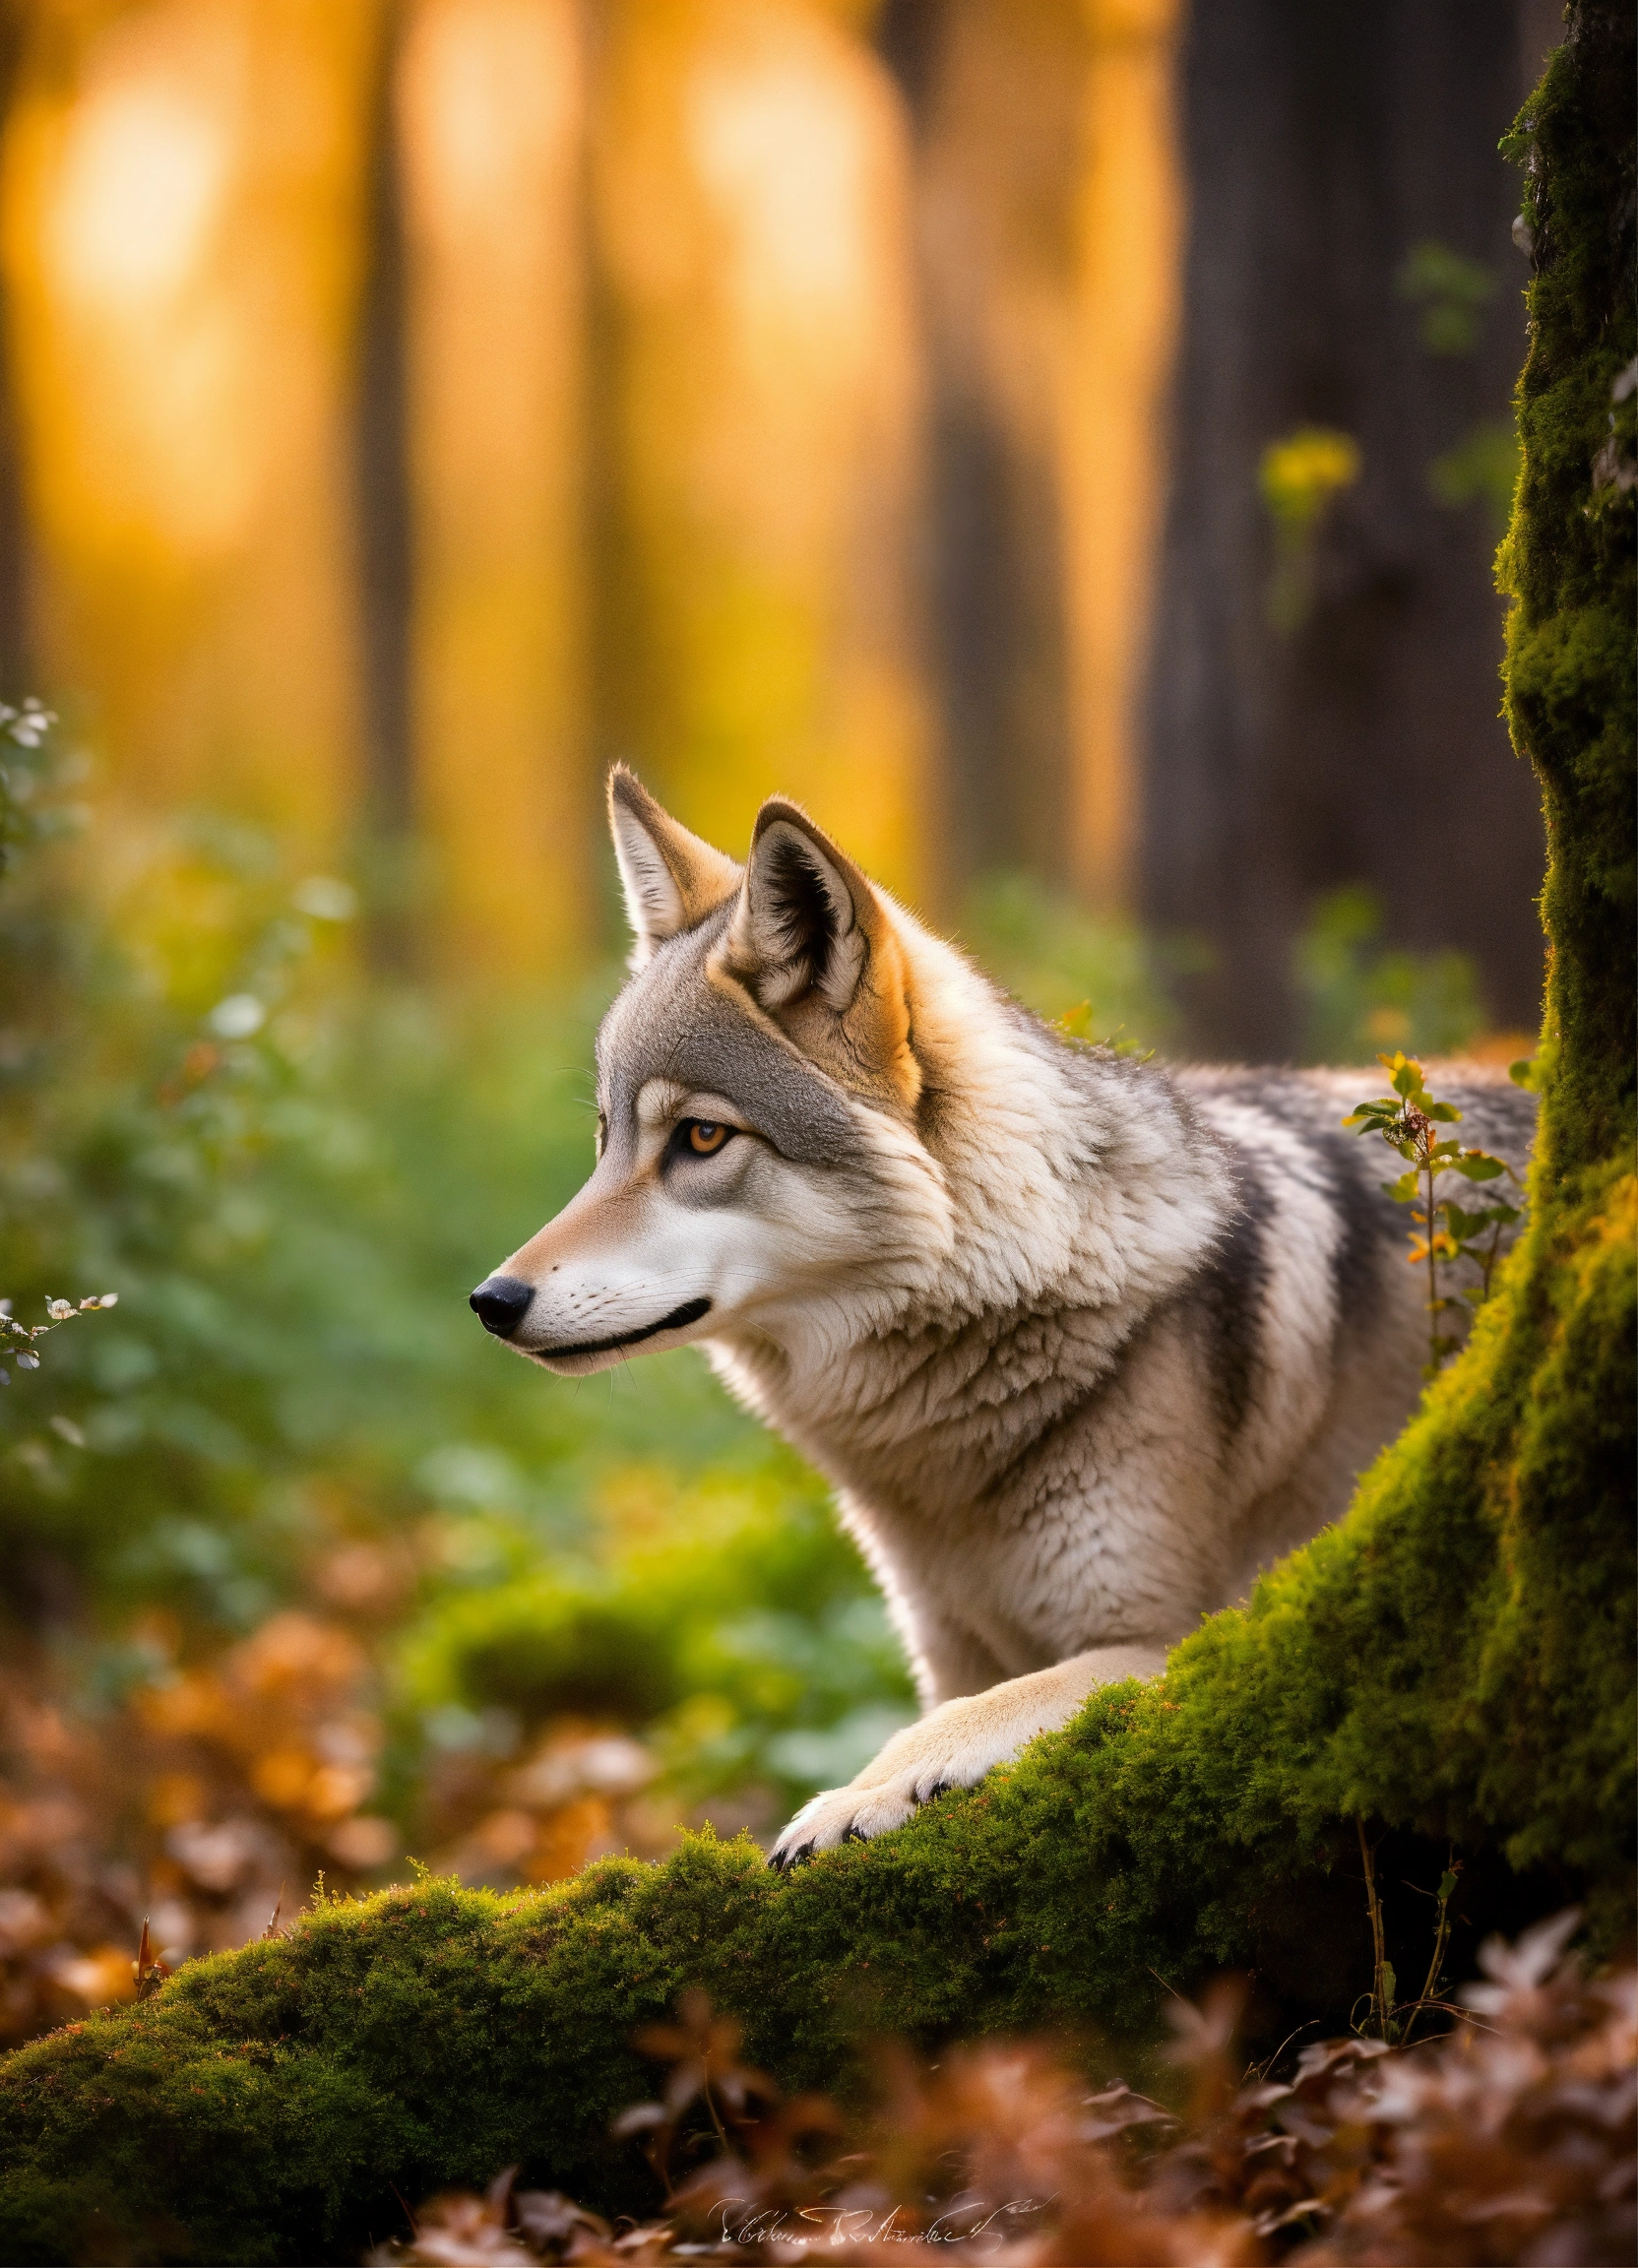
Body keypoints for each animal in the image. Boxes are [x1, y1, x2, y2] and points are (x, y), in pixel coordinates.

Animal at [470, 770, 1535, 1869]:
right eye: (607, 1139)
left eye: (701, 1138)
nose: (492, 1302)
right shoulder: (945, 1646)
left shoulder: (1182, 1633)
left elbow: (978, 1709)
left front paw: (854, 1798)